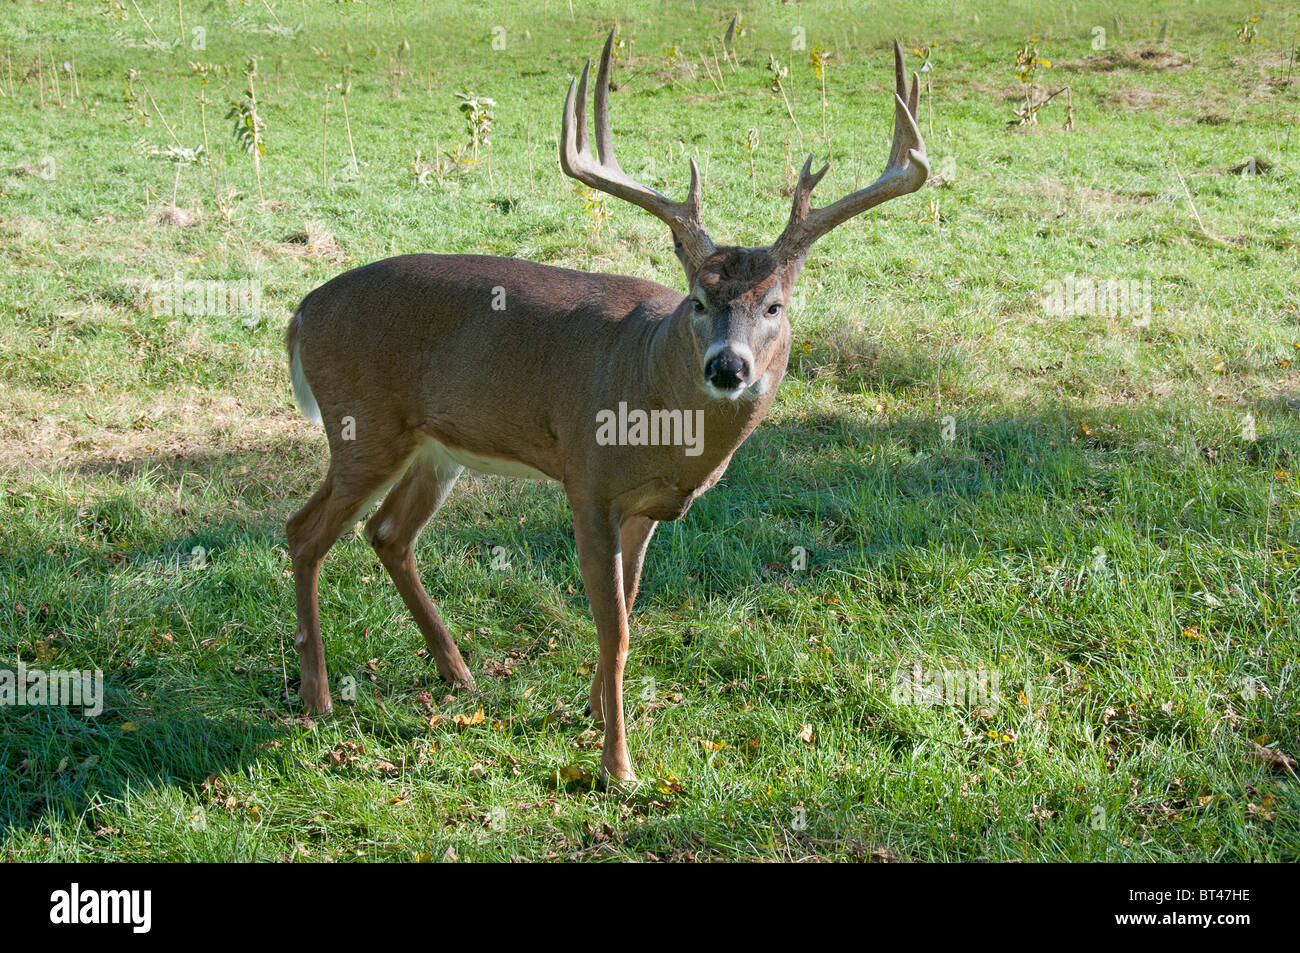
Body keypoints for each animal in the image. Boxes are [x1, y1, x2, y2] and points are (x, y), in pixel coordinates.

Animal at [284, 30, 928, 783]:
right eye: (699, 301)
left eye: (774, 305)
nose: (727, 366)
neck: (655, 401)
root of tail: (301, 313)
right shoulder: (587, 481)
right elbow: (613, 626)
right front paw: (618, 763)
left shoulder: (647, 507)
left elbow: (629, 609)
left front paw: (593, 712)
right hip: (363, 424)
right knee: (304, 531)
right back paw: (319, 698)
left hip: (435, 447)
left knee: (387, 532)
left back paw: (458, 673)